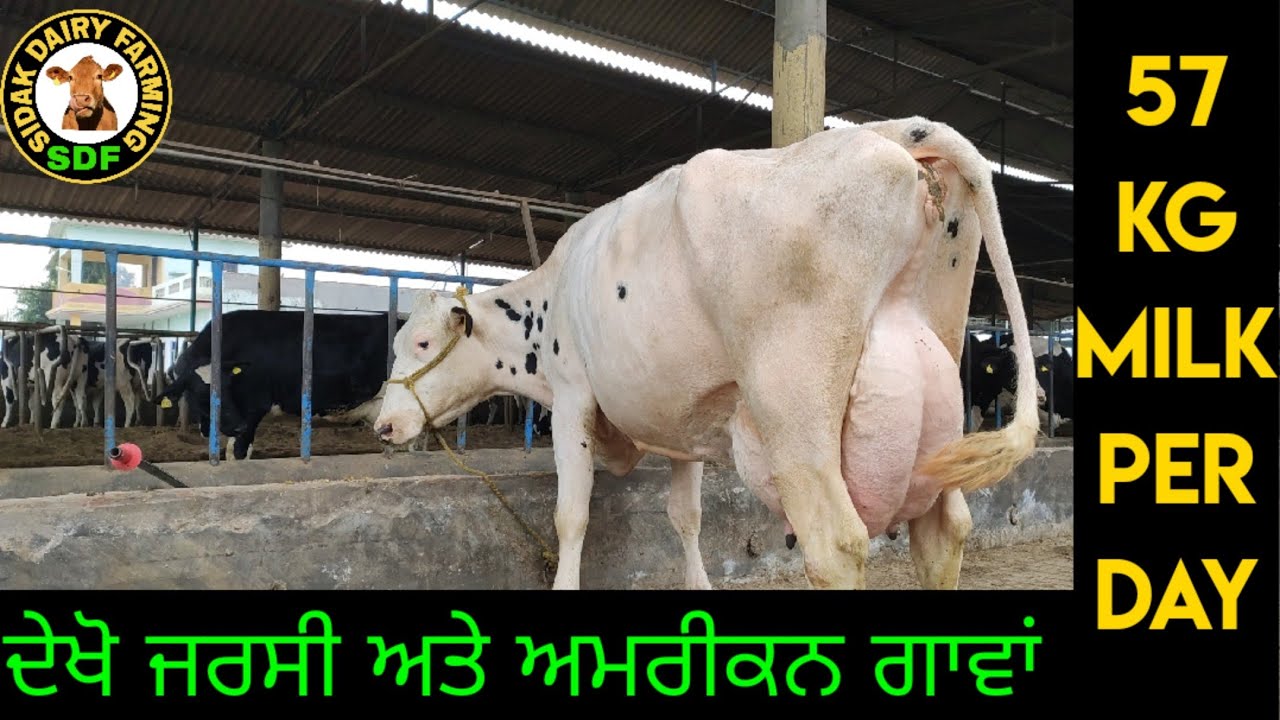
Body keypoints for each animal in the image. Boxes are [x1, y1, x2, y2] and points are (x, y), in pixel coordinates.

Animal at [372, 116, 1042, 591]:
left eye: (422, 343)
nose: (382, 425)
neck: (549, 295)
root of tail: (896, 132)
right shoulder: (686, 420)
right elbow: (685, 515)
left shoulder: (570, 396)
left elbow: (571, 515)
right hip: (937, 403)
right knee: (944, 532)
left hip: (794, 407)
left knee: (837, 545)